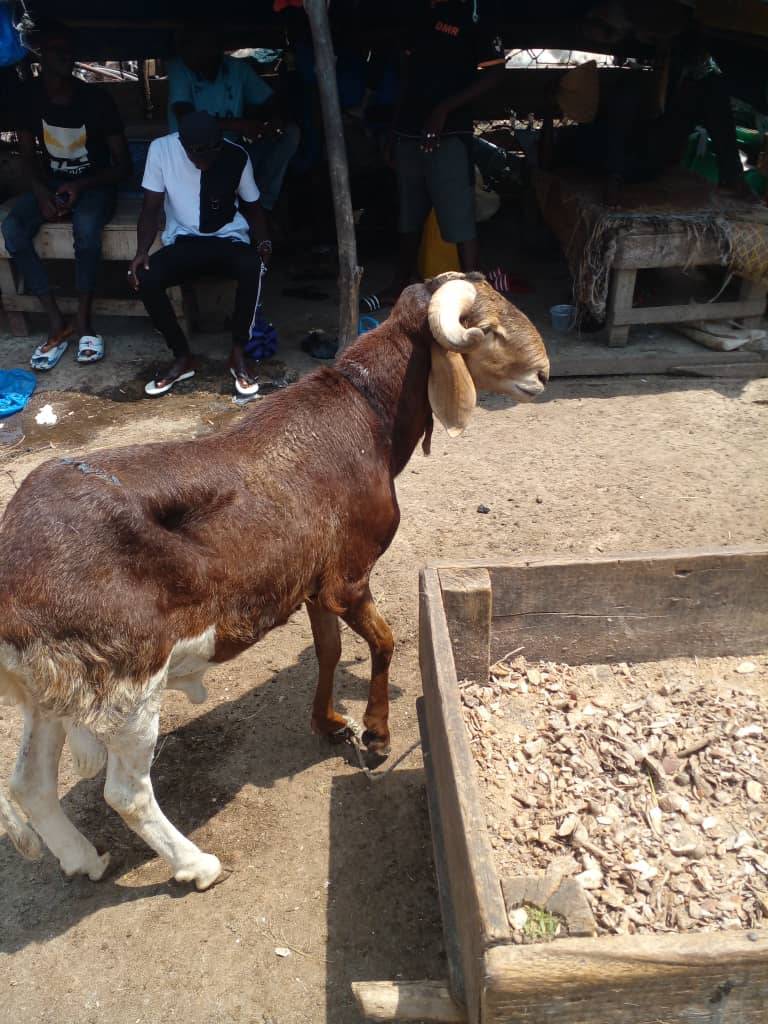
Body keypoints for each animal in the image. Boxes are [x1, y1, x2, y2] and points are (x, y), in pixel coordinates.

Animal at [0, 272, 549, 890]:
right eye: (490, 329)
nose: (544, 374)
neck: (368, 416)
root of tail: (11, 574)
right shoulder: (349, 575)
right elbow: (383, 643)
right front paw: (376, 733)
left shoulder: (315, 584)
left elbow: (329, 649)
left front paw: (329, 722)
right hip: (129, 679)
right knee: (126, 793)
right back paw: (197, 865)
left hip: (46, 688)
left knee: (29, 784)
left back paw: (85, 860)